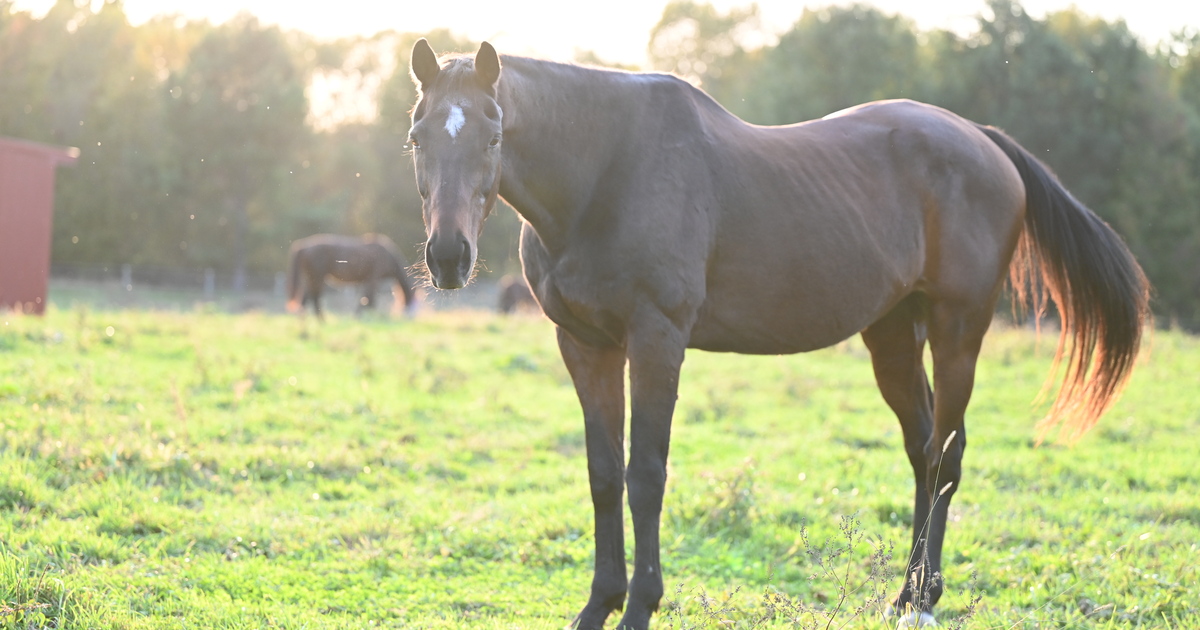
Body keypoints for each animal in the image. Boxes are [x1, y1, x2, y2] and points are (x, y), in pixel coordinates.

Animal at [286, 233, 417, 319]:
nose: (410, 317)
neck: (388, 256)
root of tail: (303, 247)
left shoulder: (368, 280)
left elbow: (366, 298)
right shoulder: (373, 279)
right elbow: (369, 299)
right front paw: (364, 315)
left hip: (313, 279)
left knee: (308, 298)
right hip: (317, 278)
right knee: (314, 298)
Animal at [406, 40, 1150, 630]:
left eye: (493, 137)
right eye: (418, 138)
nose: (448, 257)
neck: (604, 175)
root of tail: (985, 140)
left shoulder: (656, 339)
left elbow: (645, 475)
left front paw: (640, 606)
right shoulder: (586, 345)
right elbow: (602, 474)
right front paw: (598, 606)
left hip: (958, 327)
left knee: (945, 456)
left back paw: (924, 601)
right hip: (892, 334)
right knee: (922, 451)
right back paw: (904, 595)